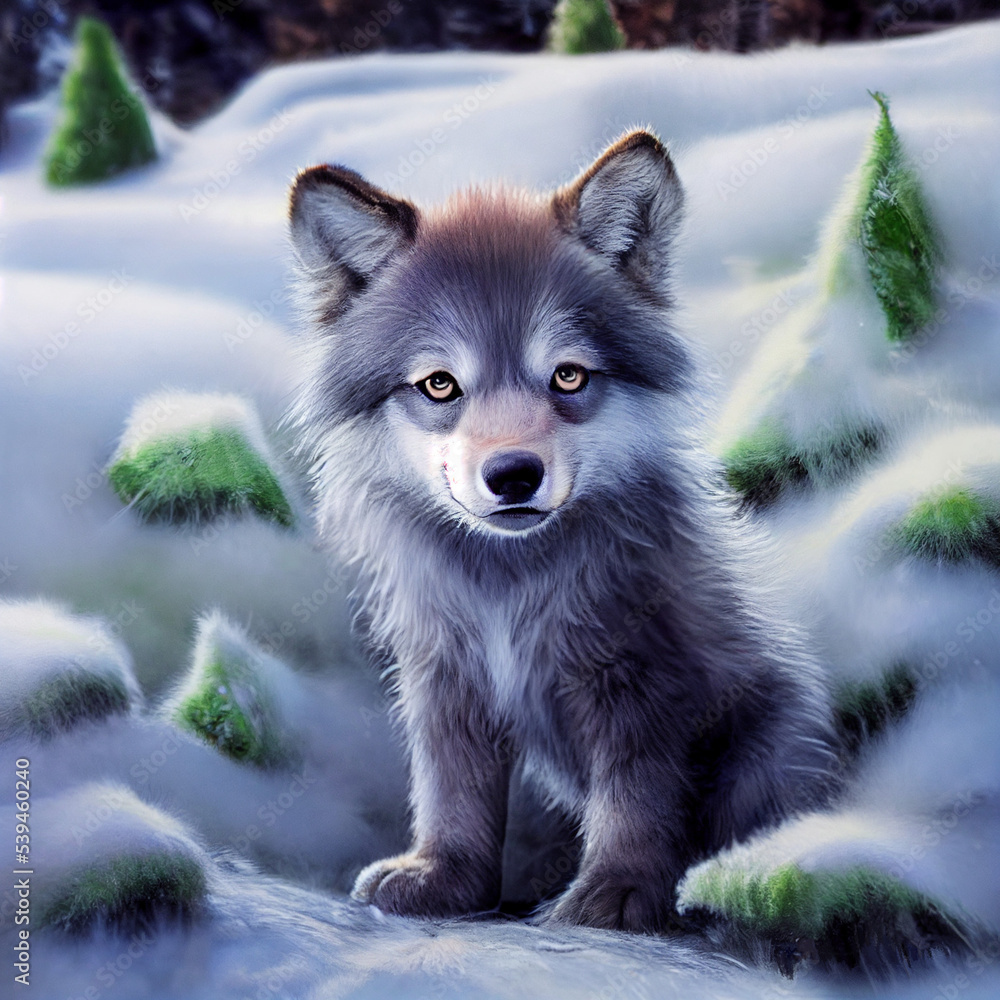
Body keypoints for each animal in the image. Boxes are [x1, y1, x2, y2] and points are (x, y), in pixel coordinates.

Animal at [288, 129, 835, 932]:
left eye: (568, 376)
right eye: (440, 384)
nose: (513, 475)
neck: (509, 592)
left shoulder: (642, 680)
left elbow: (635, 800)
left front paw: (615, 896)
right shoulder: (445, 677)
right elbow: (453, 794)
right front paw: (445, 878)